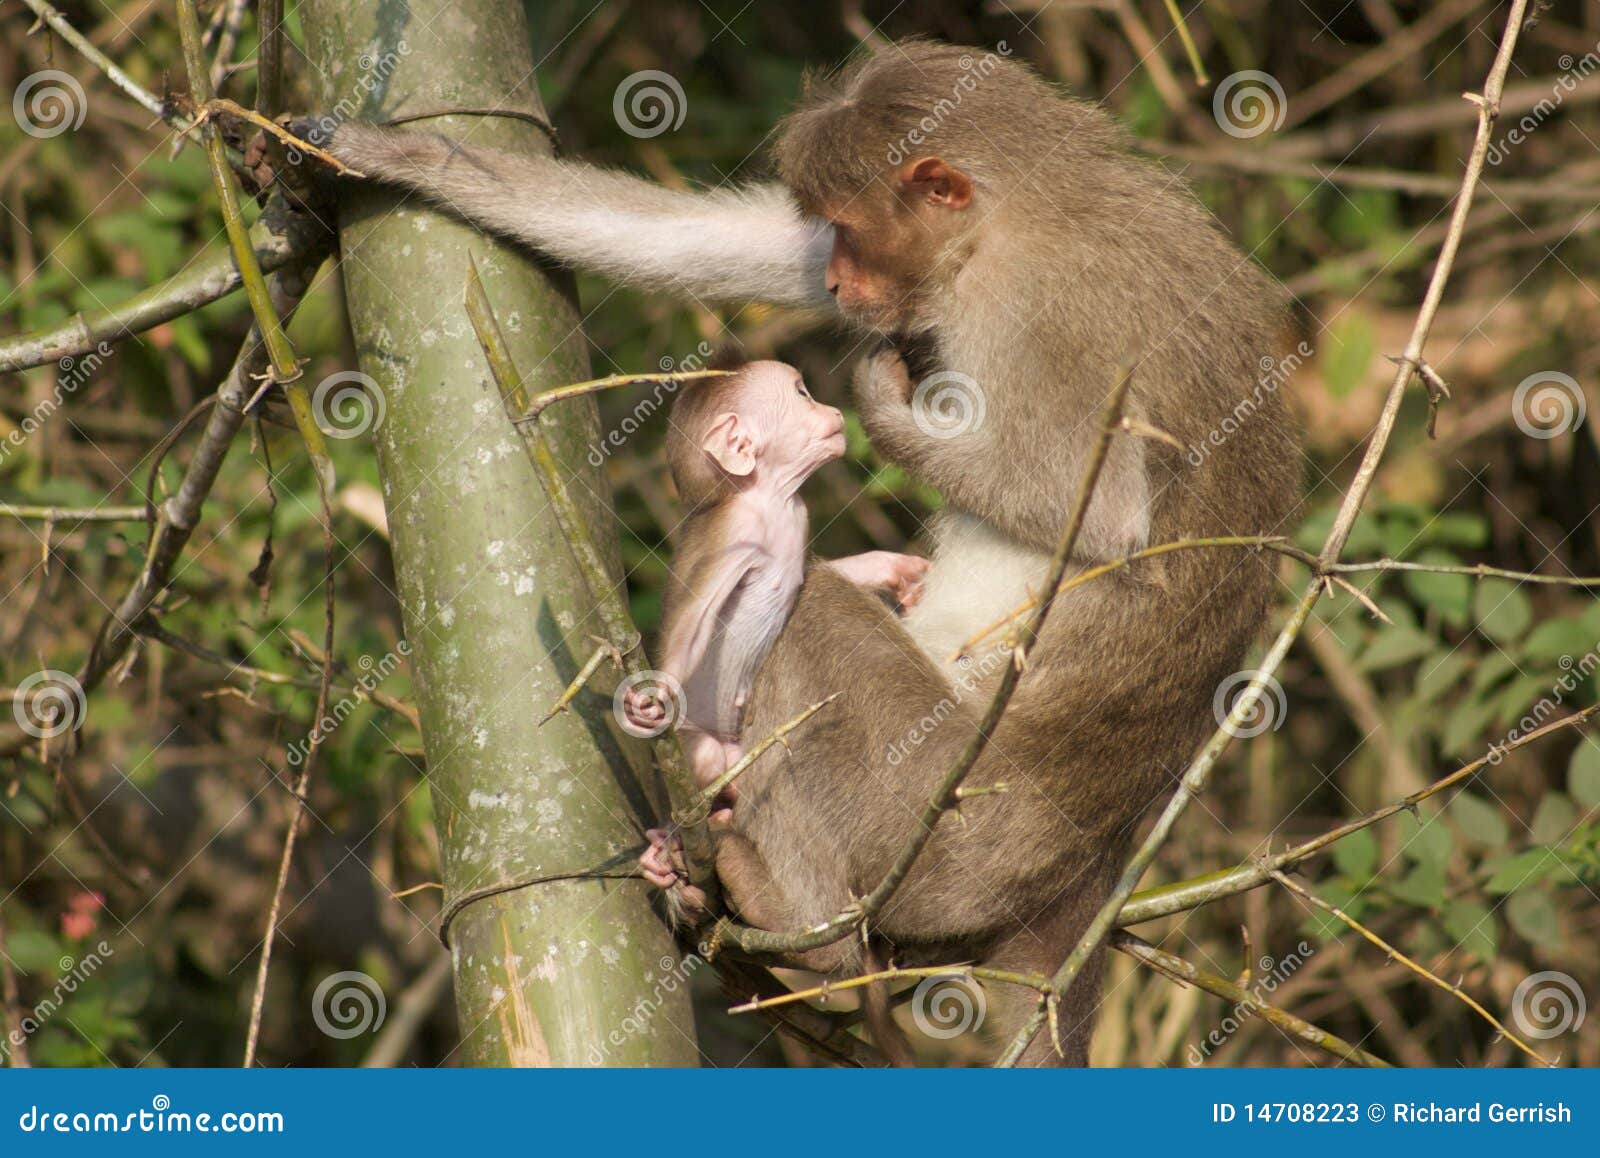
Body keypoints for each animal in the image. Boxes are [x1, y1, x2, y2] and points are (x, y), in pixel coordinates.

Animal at [623, 359, 927, 896]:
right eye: (802, 394)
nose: (832, 410)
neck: (769, 498)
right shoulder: (737, 532)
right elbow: (691, 621)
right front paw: (650, 696)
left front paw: (896, 568)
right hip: (699, 739)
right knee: (707, 760)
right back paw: (676, 838)